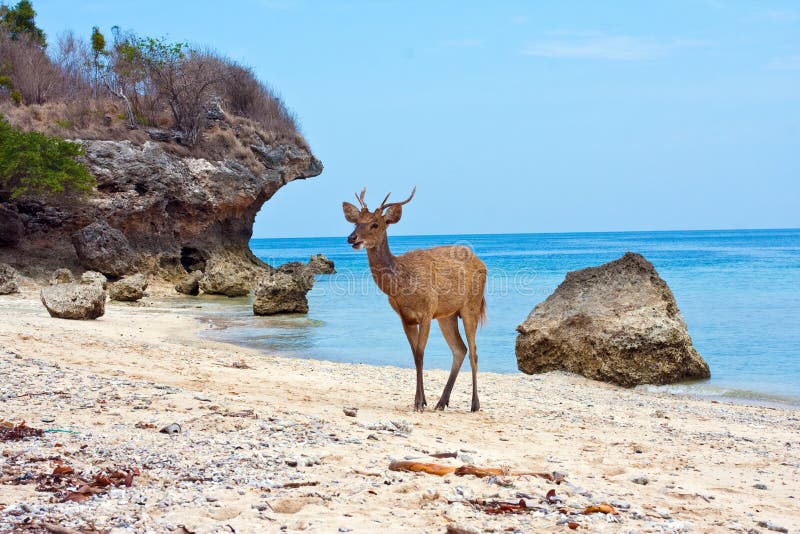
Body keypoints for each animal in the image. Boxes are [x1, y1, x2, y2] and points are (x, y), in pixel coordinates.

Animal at [342, 187, 487, 412]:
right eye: (356, 221)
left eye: (375, 223)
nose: (352, 238)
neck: (402, 285)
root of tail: (482, 264)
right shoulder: (405, 317)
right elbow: (414, 355)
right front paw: (421, 400)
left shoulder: (427, 311)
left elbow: (420, 353)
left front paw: (419, 403)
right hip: (447, 315)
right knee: (459, 349)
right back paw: (441, 402)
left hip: (471, 305)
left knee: (473, 352)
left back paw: (474, 404)